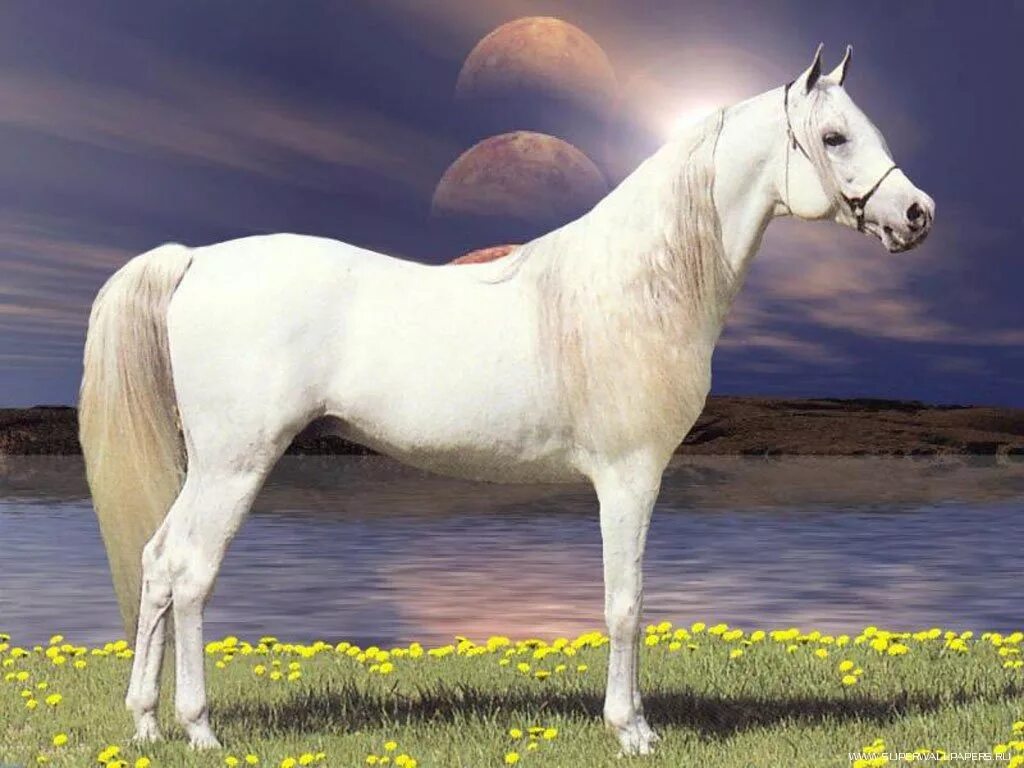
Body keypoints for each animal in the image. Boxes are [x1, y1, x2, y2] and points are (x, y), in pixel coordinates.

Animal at [79, 44, 934, 755]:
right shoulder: (629, 477)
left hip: (209, 469)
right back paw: (199, 730)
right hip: (234, 463)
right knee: (190, 572)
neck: (639, 286)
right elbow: (625, 603)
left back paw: (146, 724)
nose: (918, 214)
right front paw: (632, 731)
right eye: (834, 137)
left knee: (157, 565)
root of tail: (194, 261)